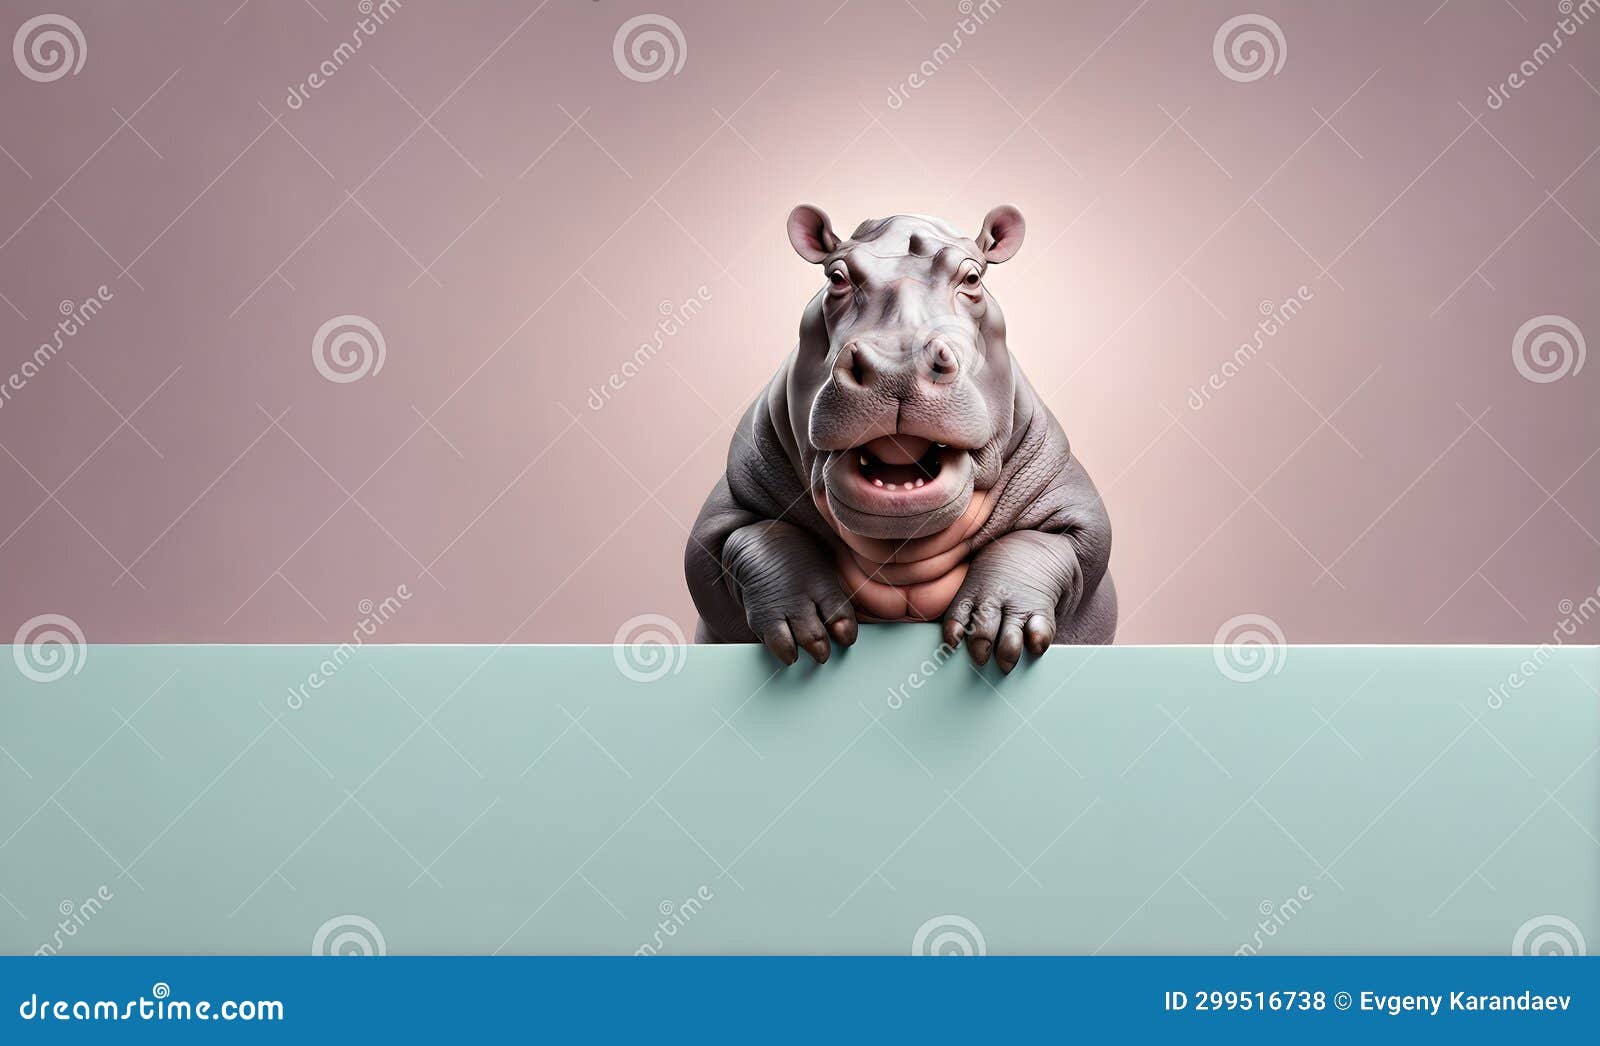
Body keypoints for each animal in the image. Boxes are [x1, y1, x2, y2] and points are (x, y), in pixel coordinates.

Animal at [685, 205, 1115, 672]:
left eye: (973, 277)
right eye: (836, 277)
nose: (897, 365)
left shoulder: (1071, 499)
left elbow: (1047, 543)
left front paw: (998, 621)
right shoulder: (736, 491)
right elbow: (747, 538)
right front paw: (806, 623)